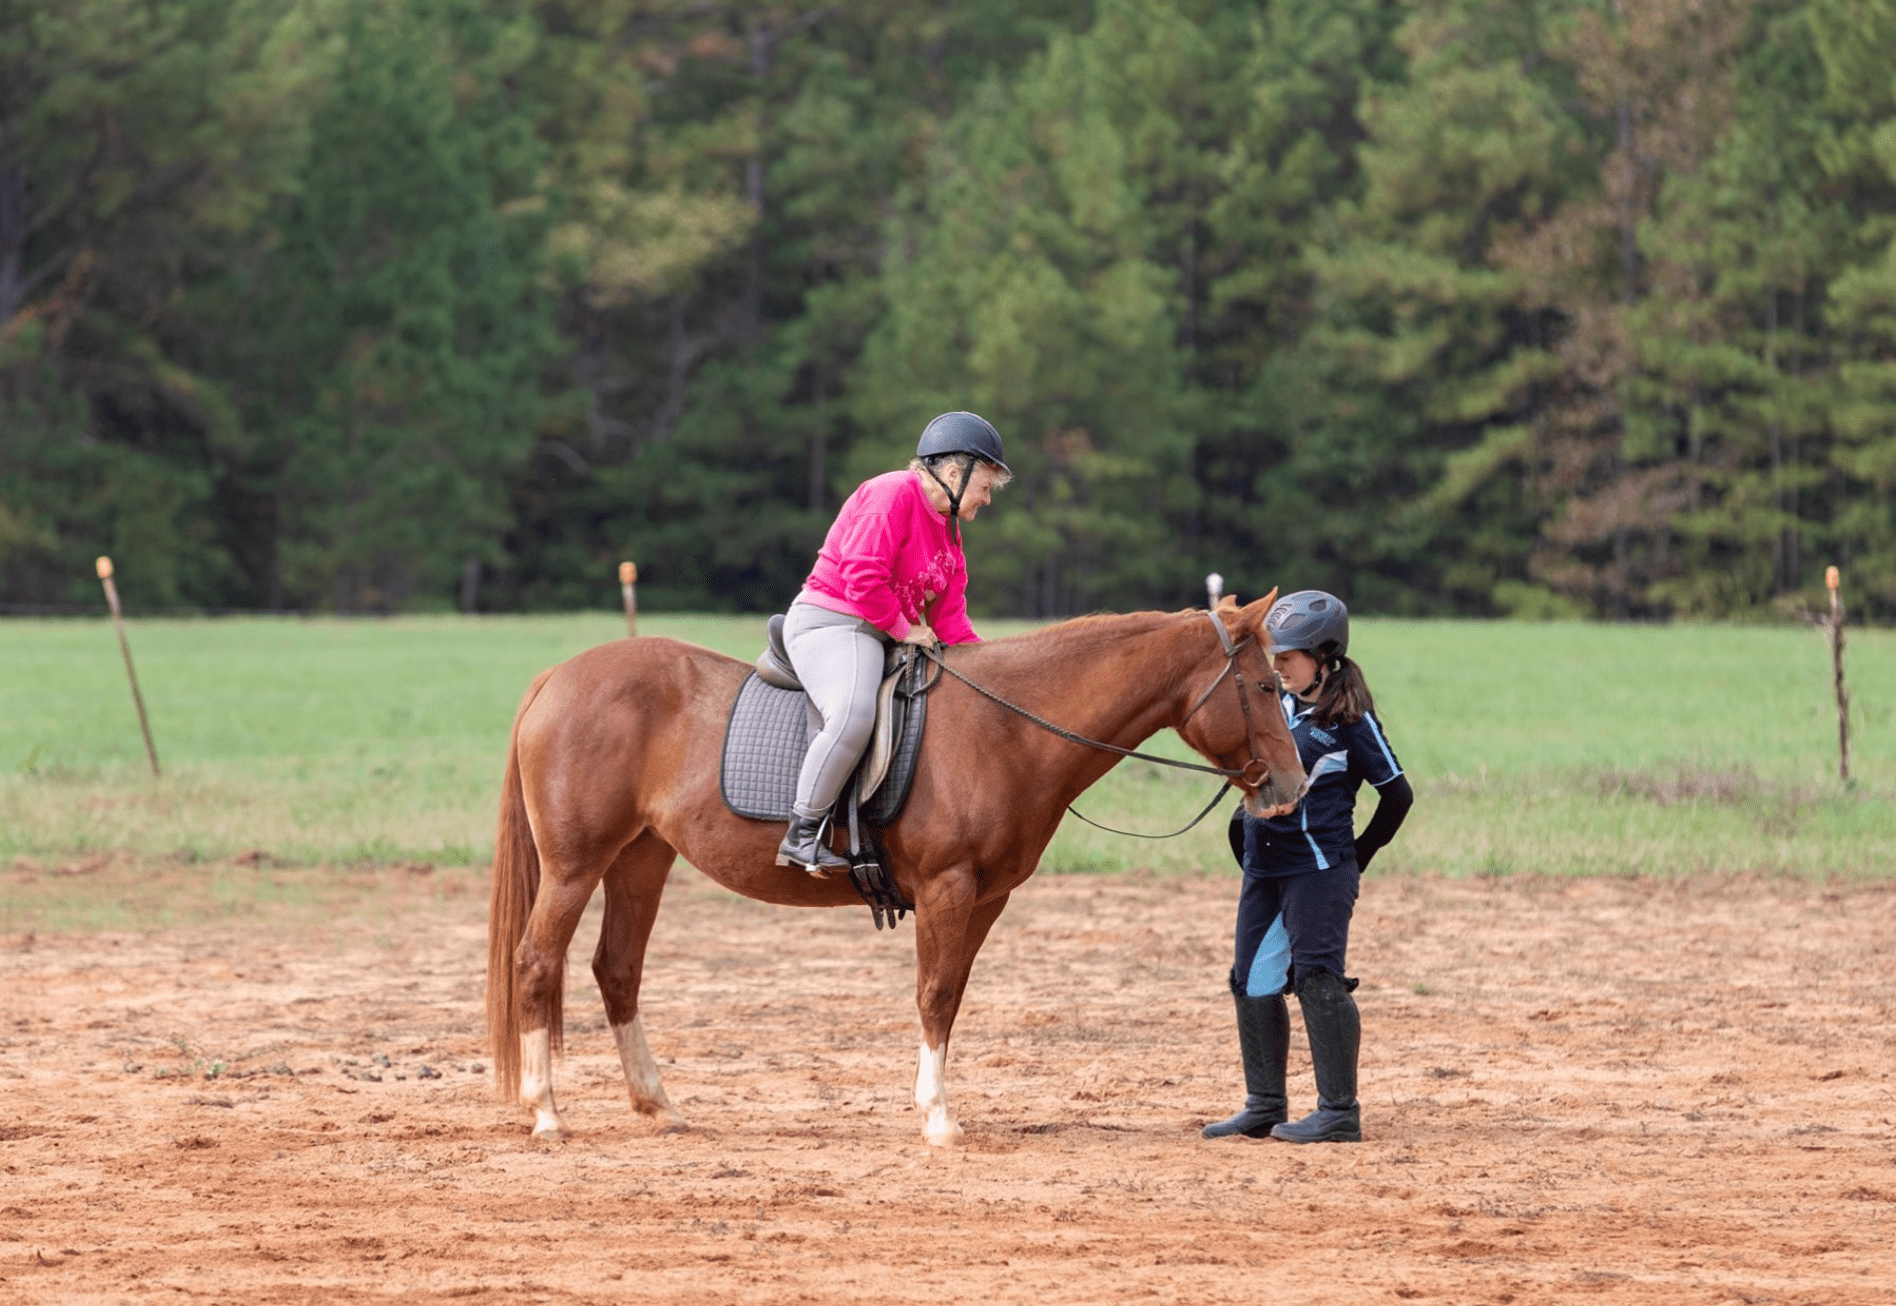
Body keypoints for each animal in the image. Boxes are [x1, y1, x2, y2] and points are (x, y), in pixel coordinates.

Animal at [485, 593, 1306, 1146]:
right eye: (1266, 687)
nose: (1293, 788)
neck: (1007, 727)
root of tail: (559, 675)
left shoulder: (985, 899)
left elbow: (951, 995)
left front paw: (937, 1102)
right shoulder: (948, 887)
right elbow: (934, 994)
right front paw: (938, 1118)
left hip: (640, 861)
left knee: (616, 970)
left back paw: (658, 1105)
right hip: (574, 866)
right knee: (537, 963)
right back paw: (546, 1111)